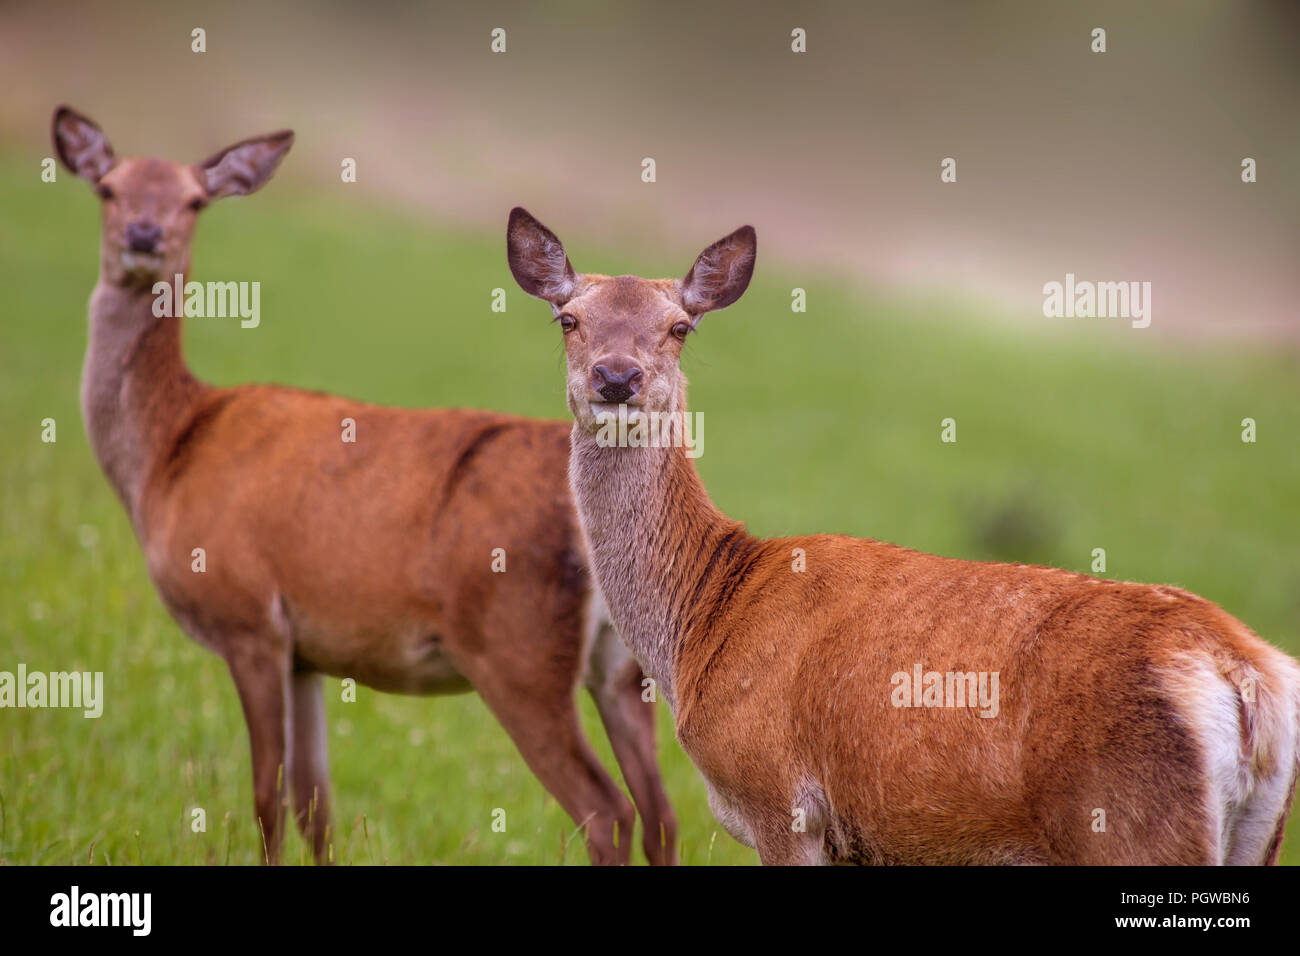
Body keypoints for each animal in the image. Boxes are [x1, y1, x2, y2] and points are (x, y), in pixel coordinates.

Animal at [51, 106, 678, 866]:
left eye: (194, 200)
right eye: (108, 188)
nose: (144, 235)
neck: (168, 450)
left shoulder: (247, 616)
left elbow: (265, 797)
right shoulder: (307, 650)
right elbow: (314, 803)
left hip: (517, 653)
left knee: (607, 810)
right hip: (620, 667)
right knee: (662, 814)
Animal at [507, 206, 1300, 865]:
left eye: (680, 327)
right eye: (568, 319)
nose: (617, 377)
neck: (703, 620)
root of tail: (1245, 677)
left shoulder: (780, 800)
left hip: (1130, 823)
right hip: (1256, 833)